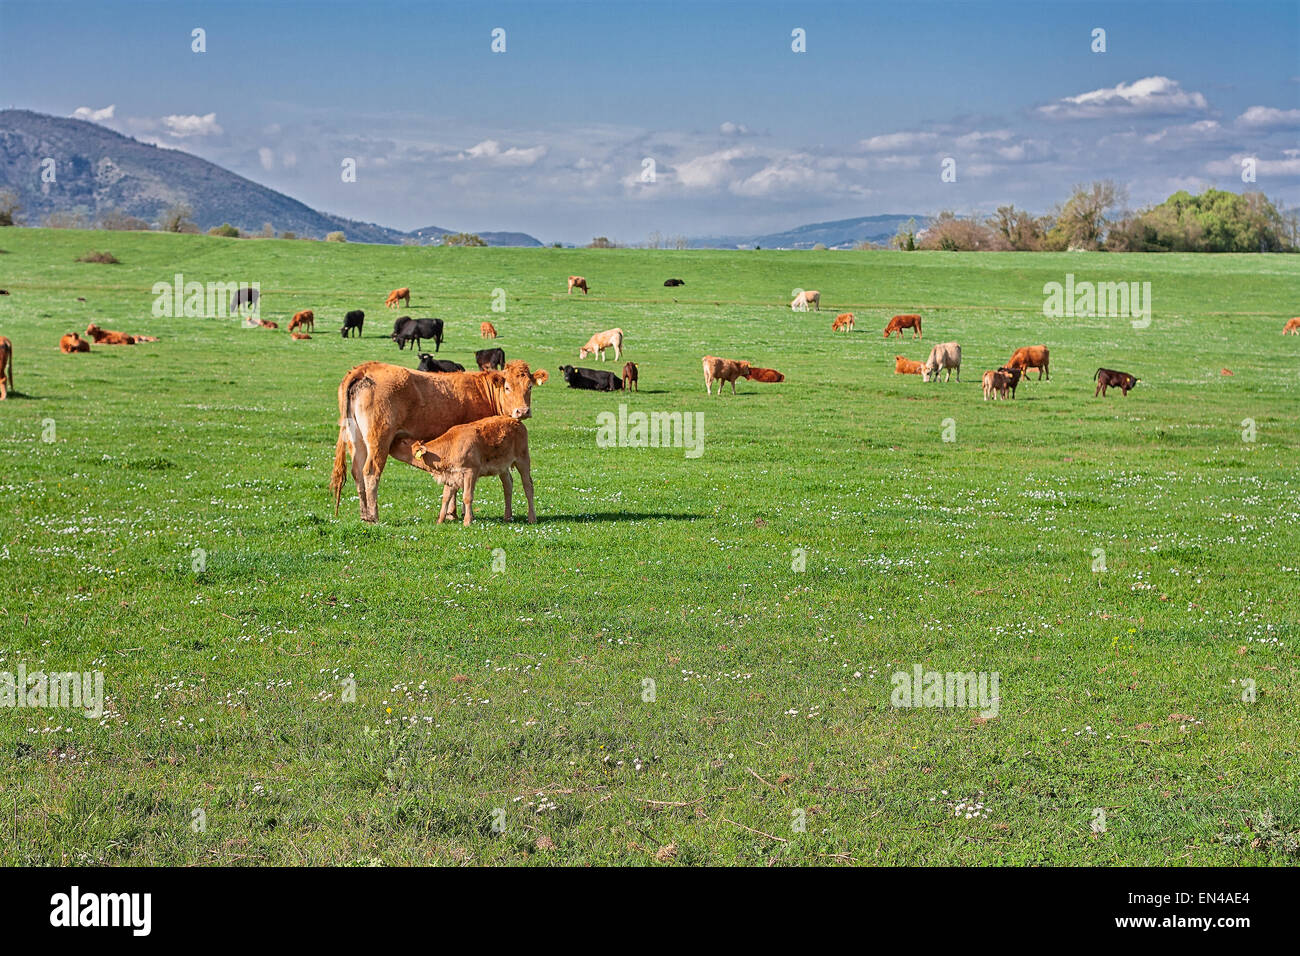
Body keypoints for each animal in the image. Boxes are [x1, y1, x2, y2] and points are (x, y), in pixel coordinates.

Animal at [403, 416, 535, 526]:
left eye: (403, 441)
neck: (451, 444)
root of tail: (516, 421)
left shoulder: (470, 472)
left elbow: (467, 496)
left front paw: (467, 521)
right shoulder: (451, 475)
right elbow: (446, 497)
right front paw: (440, 521)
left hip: (523, 460)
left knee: (528, 486)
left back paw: (531, 518)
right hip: (502, 467)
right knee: (508, 485)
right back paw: (507, 517)